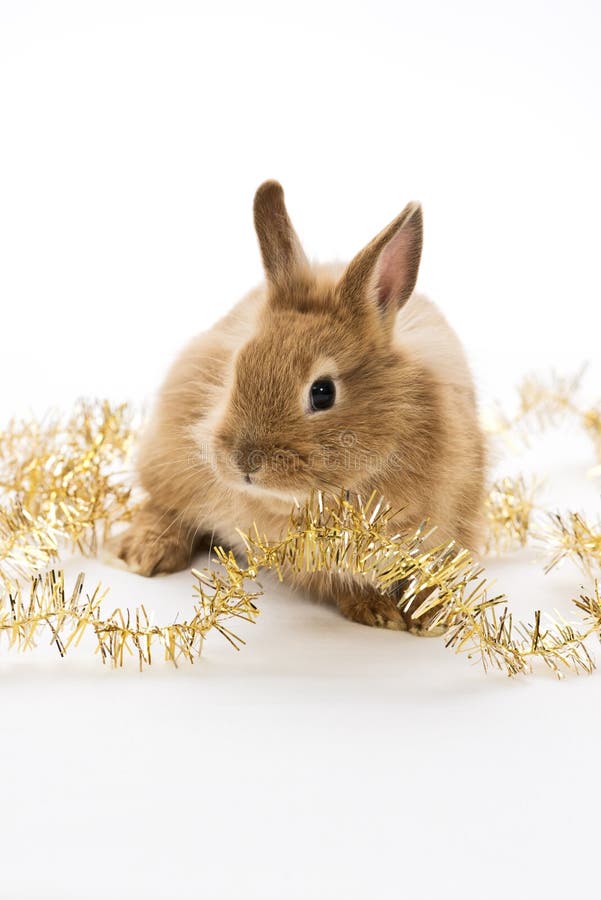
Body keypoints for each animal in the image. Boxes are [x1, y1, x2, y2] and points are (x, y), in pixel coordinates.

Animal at [114, 180, 486, 630]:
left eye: (322, 392)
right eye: (236, 370)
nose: (244, 463)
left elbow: (434, 572)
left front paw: (431, 615)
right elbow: (339, 581)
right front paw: (378, 611)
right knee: (164, 506)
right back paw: (144, 552)